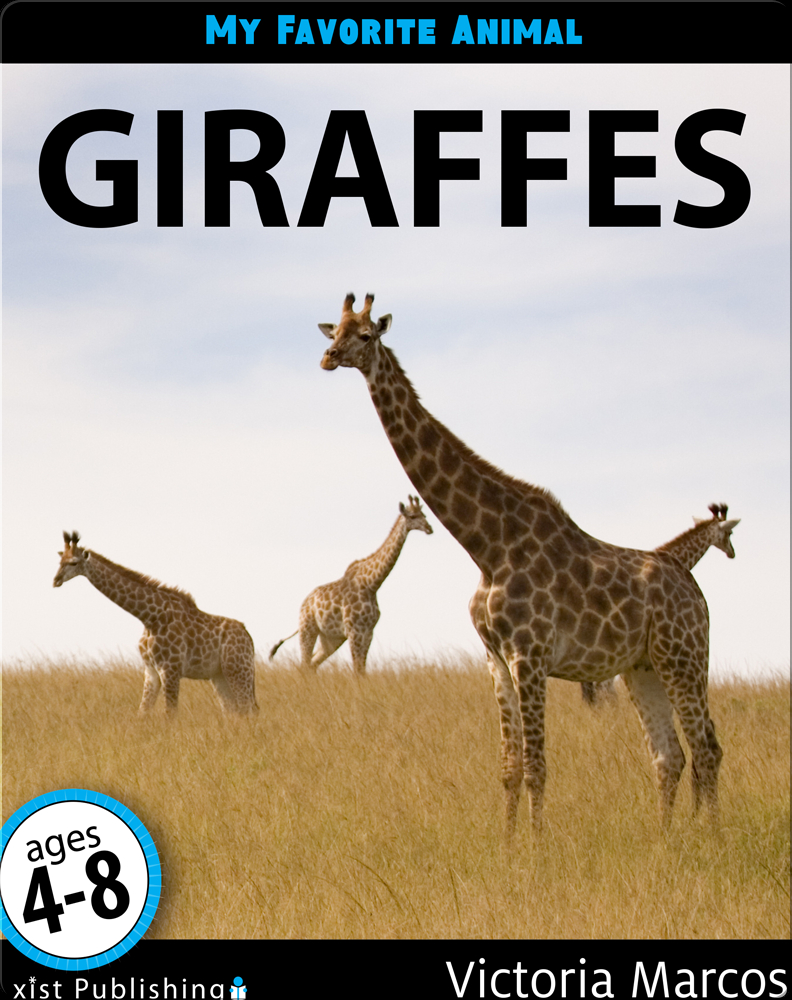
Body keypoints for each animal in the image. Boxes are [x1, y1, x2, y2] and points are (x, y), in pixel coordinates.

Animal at [53, 532, 258, 715]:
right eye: (60, 561)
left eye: (74, 562)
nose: (56, 580)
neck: (150, 617)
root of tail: (248, 636)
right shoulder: (150, 671)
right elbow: (143, 712)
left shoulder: (170, 669)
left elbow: (170, 713)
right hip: (219, 675)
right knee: (234, 710)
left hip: (238, 670)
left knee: (250, 709)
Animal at [269, 497, 433, 674]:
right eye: (412, 516)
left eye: (424, 514)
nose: (429, 528)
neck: (371, 585)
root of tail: (304, 604)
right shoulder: (354, 631)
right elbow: (357, 669)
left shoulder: (368, 632)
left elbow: (361, 669)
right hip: (308, 628)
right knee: (304, 663)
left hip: (331, 638)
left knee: (312, 664)